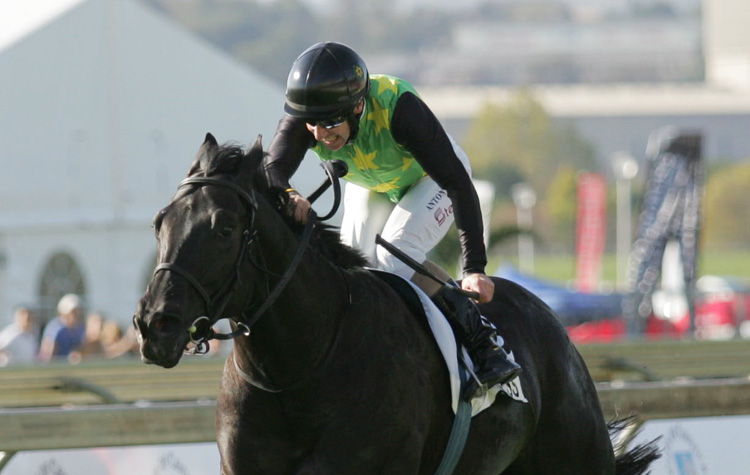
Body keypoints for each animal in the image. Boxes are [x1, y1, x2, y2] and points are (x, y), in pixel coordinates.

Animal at [134, 134, 659, 474]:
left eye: (224, 228)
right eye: (160, 222)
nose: (156, 324)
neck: (297, 371)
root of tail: (549, 319)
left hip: (576, 455)